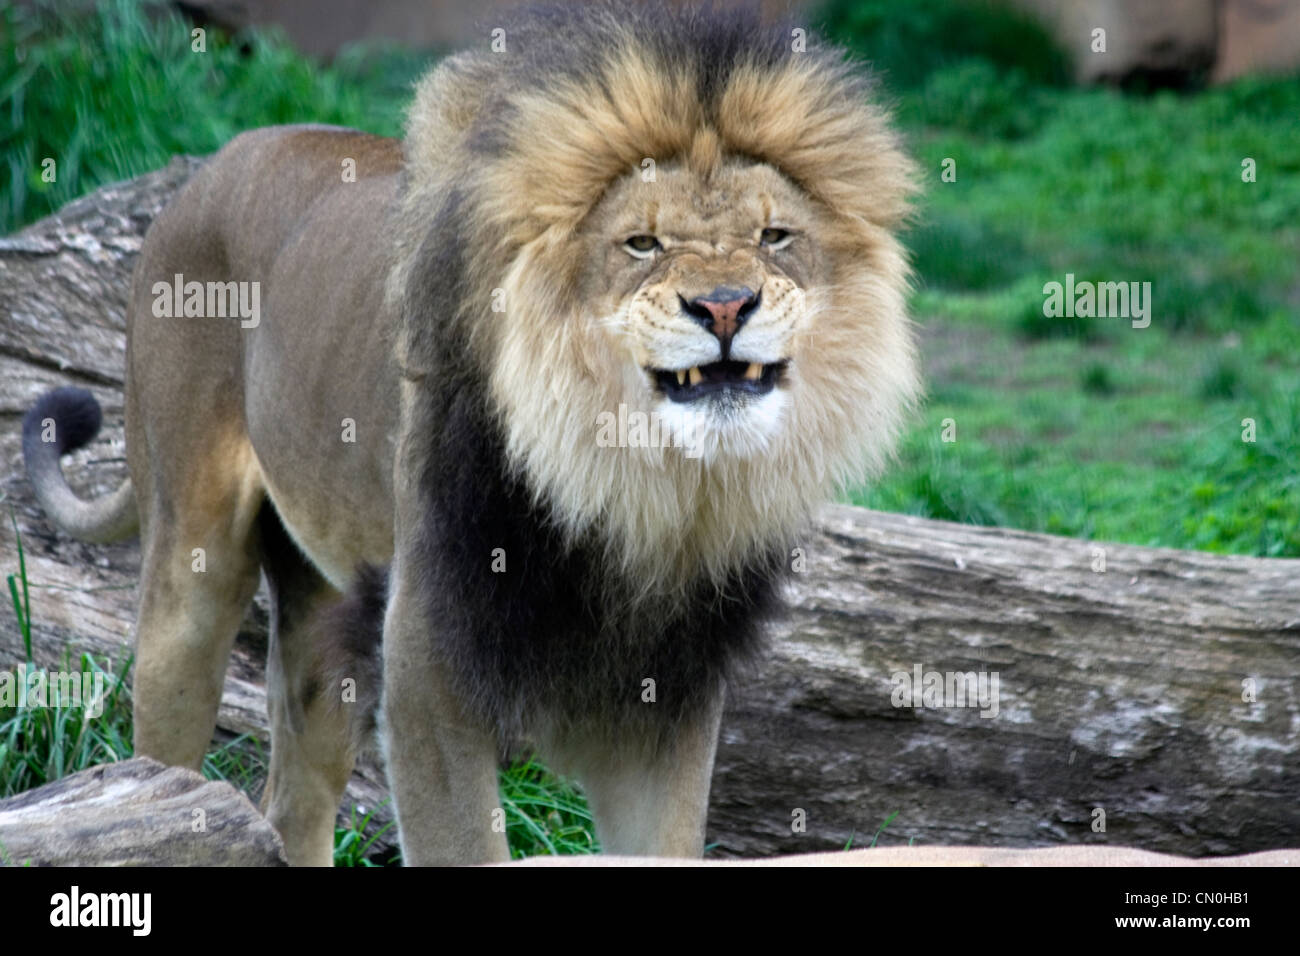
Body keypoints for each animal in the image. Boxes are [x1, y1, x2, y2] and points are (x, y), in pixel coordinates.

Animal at [22, 3, 919, 865]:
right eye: (642, 243)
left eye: (776, 237)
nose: (727, 306)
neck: (634, 483)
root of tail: (209, 164)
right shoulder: (426, 662)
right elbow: (464, 841)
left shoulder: (668, 690)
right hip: (191, 567)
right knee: (165, 774)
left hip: (323, 603)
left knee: (294, 799)